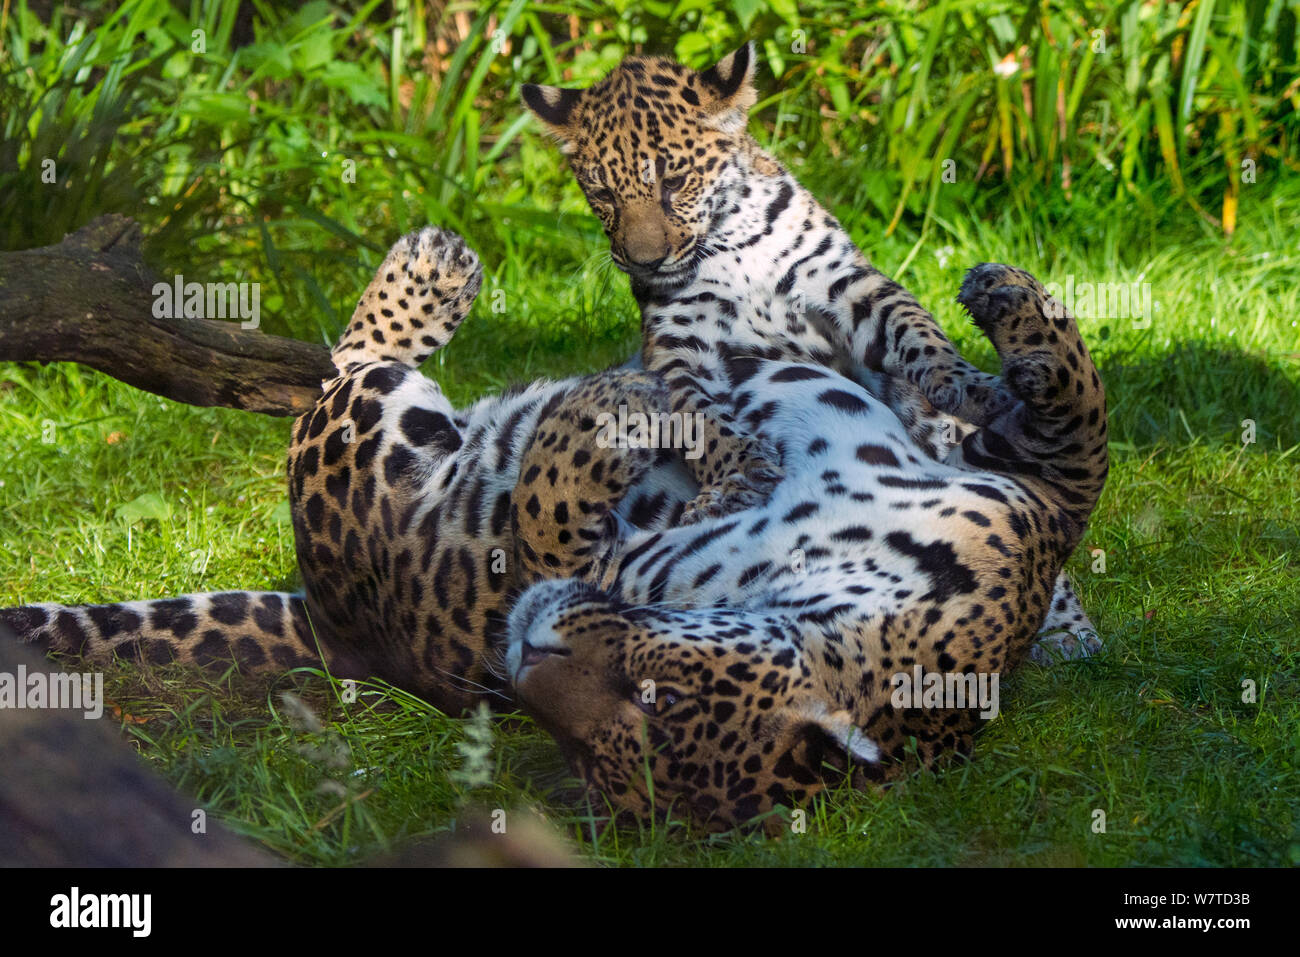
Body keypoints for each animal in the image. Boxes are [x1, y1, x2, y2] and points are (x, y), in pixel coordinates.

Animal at [522, 43, 1100, 661]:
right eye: (602, 193)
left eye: (674, 181)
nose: (644, 260)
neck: (726, 248)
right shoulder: (677, 346)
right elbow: (697, 418)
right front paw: (738, 478)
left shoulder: (846, 286)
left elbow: (915, 330)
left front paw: (964, 382)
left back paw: (1068, 630)